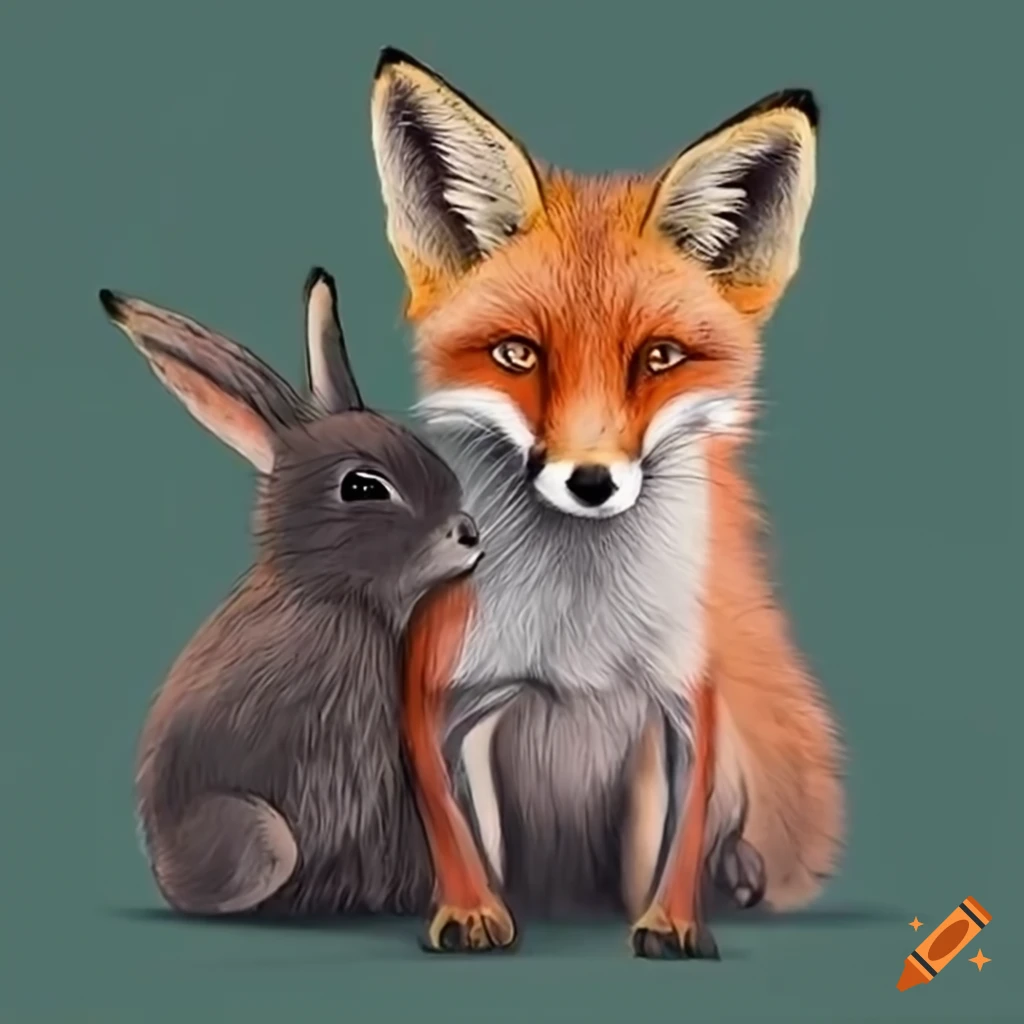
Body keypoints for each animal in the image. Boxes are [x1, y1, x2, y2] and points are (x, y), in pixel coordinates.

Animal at [369, 47, 844, 958]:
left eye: (658, 357)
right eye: (517, 355)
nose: (590, 481)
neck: (578, 632)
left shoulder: (684, 704)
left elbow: (682, 832)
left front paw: (674, 922)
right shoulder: (441, 699)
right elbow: (452, 825)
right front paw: (469, 909)